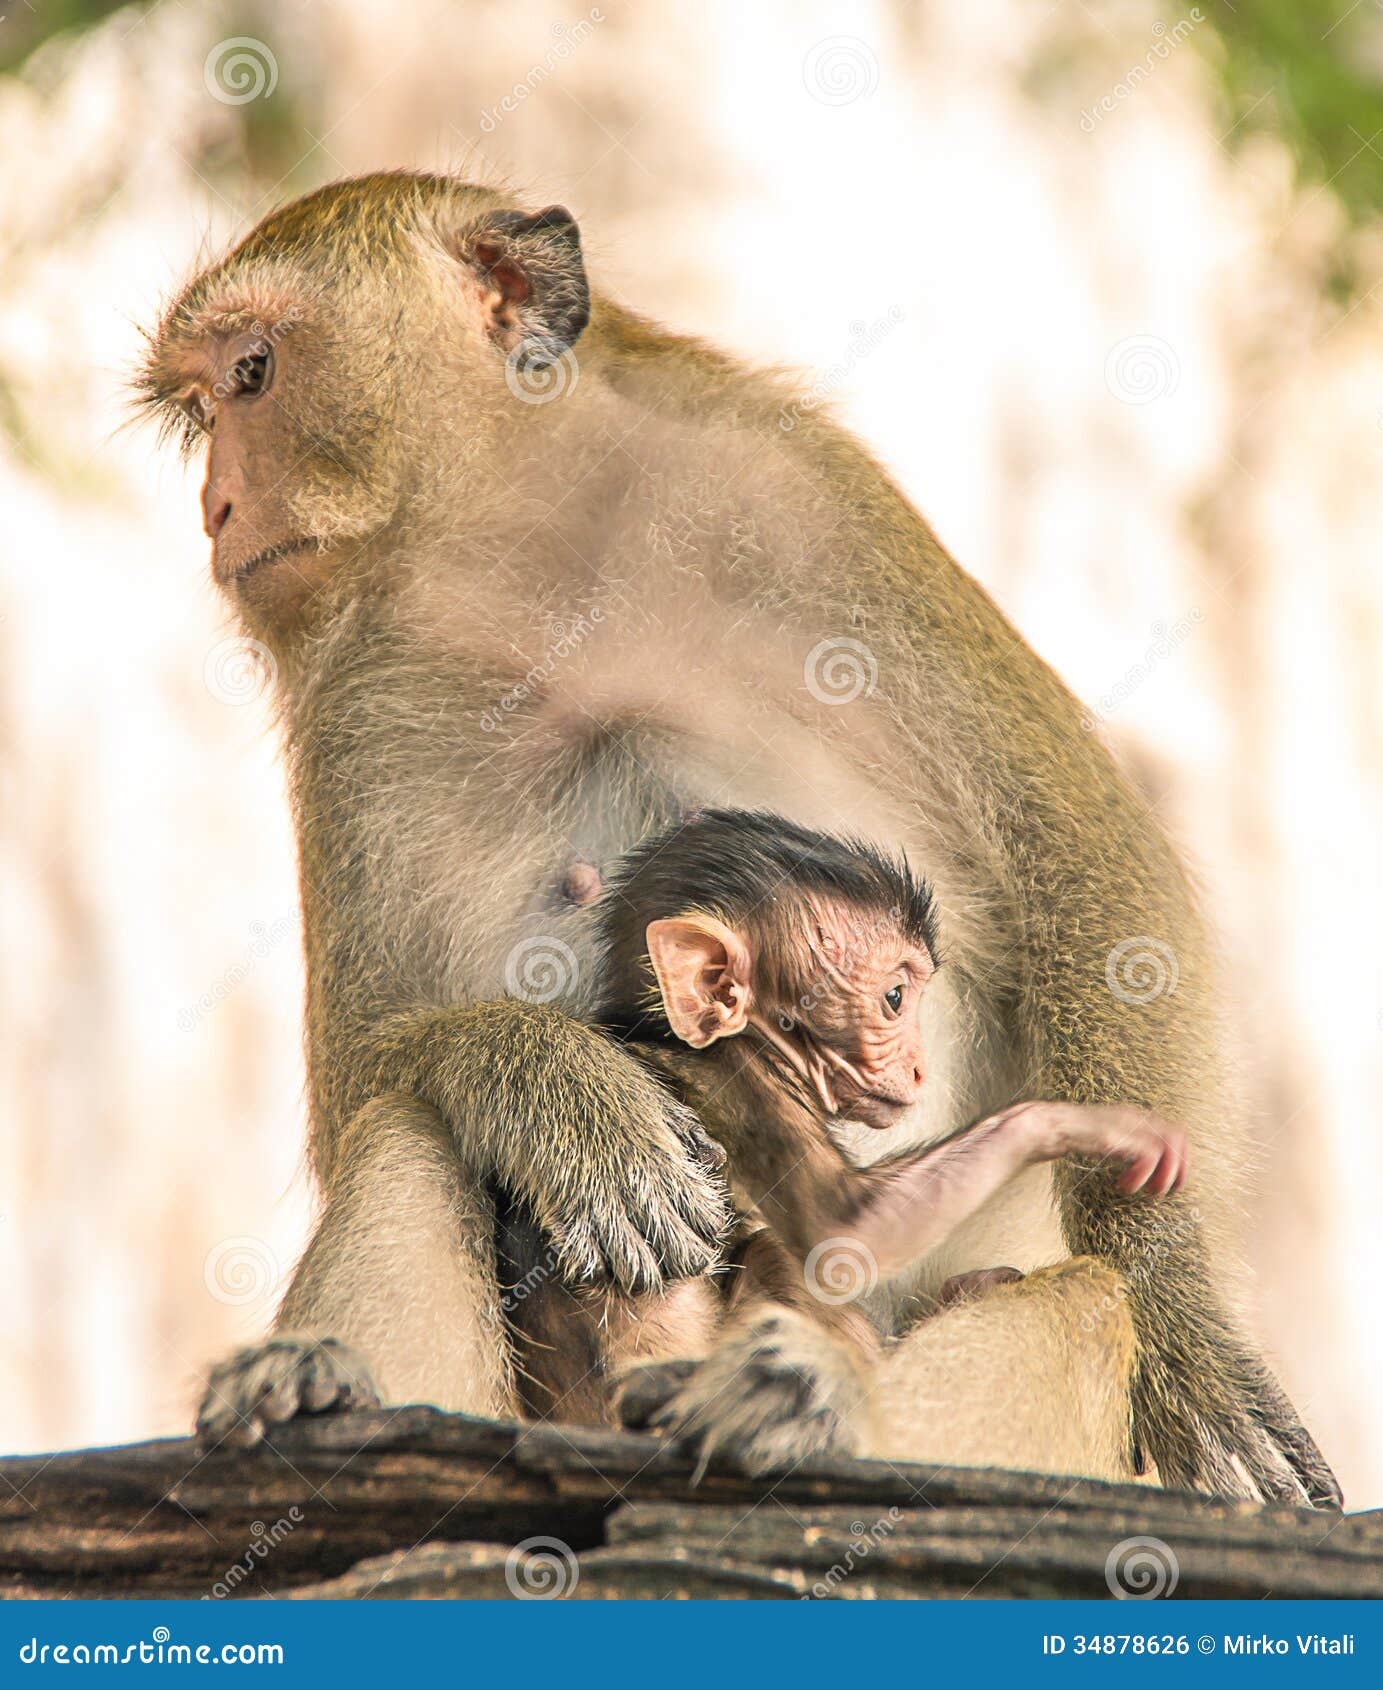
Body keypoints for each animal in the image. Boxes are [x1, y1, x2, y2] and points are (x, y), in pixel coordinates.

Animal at [495, 808, 1188, 1465]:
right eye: (895, 997)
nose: (920, 1068)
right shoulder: (748, 1089)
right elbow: (844, 1227)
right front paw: (1079, 1124)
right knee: (777, 1253)